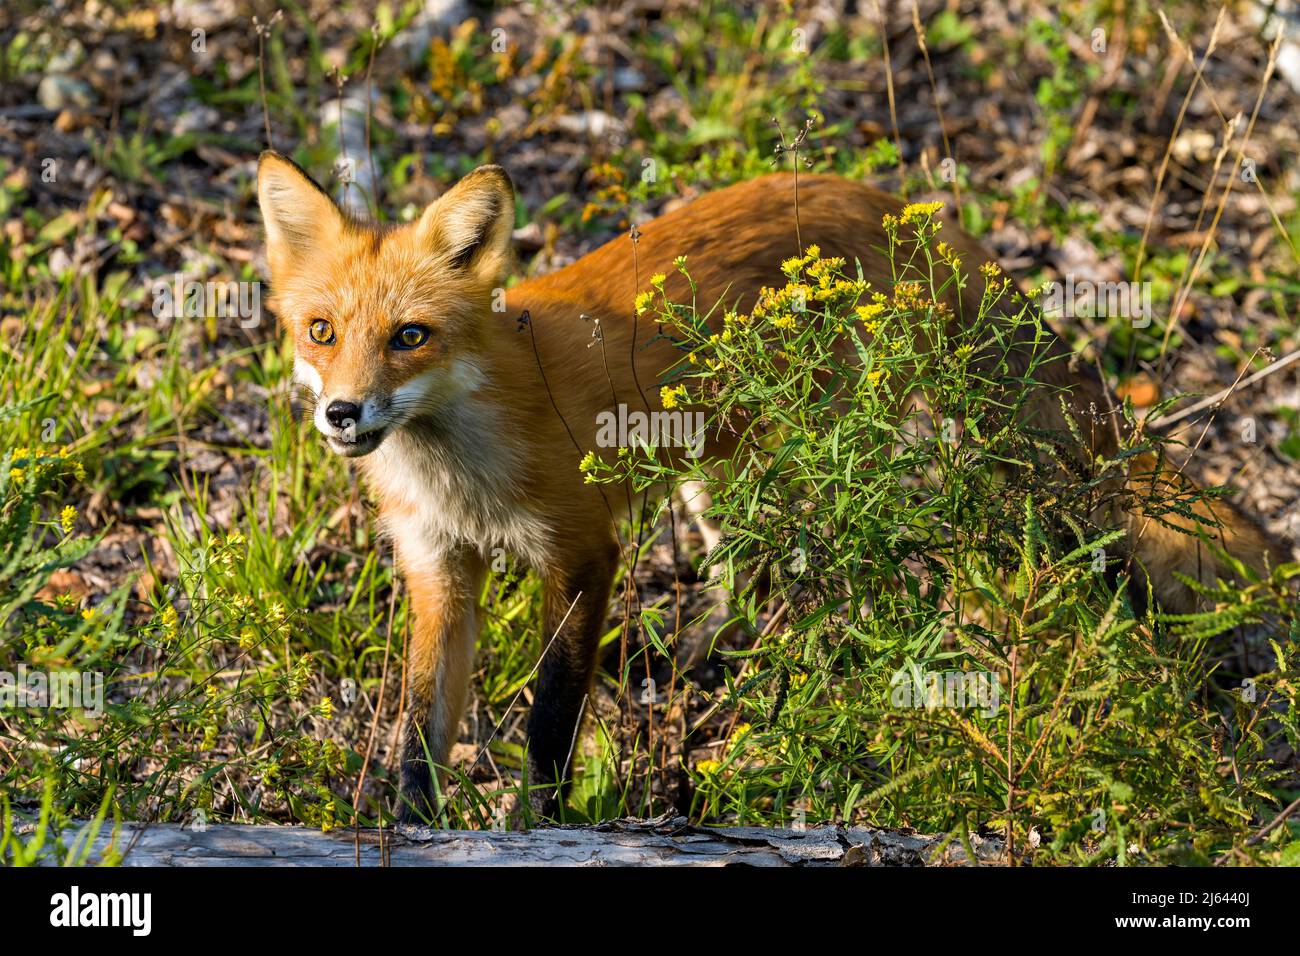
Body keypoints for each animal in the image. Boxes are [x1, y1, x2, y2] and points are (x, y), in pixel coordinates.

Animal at [256, 150, 1286, 821]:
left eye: (410, 336)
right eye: (320, 332)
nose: (343, 413)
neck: (459, 462)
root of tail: (876, 197)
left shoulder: (583, 549)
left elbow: (550, 718)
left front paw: (535, 828)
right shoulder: (438, 567)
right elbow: (419, 734)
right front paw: (410, 829)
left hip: (808, 458)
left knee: (816, 573)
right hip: (724, 467)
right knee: (743, 572)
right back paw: (697, 655)